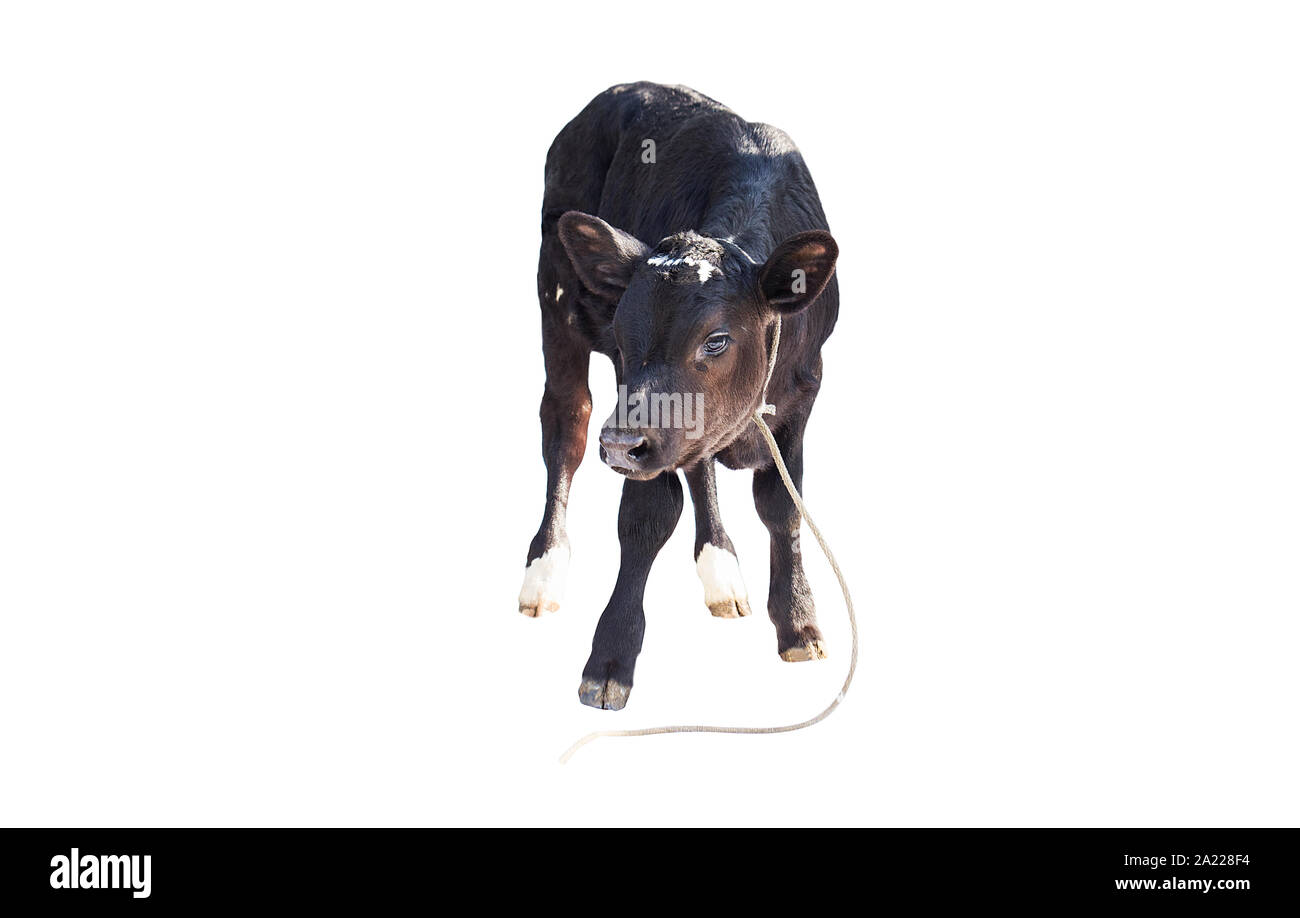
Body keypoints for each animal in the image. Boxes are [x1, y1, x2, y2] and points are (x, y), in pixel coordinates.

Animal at [518, 83, 840, 711]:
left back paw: (721, 569)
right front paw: (611, 658)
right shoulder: (635, 418)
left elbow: (783, 505)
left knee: (696, 459)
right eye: (623, 333)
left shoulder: (803, 396)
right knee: (566, 427)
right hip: (556, 302)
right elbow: (647, 514)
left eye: (716, 339)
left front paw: (798, 622)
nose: (619, 445)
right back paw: (544, 570)